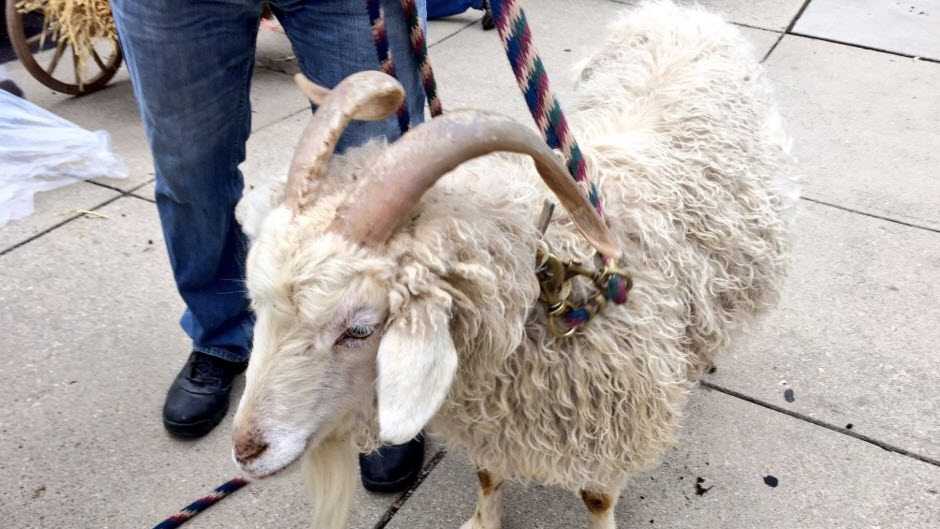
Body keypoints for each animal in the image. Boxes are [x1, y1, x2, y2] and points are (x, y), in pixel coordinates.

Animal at [231, 2, 798, 528]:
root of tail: (677, 13)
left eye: (359, 329)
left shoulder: (614, 414)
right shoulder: (491, 419)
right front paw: (482, 521)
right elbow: (487, 473)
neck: (542, 292)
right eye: (258, 307)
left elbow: (597, 496)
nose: (246, 450)